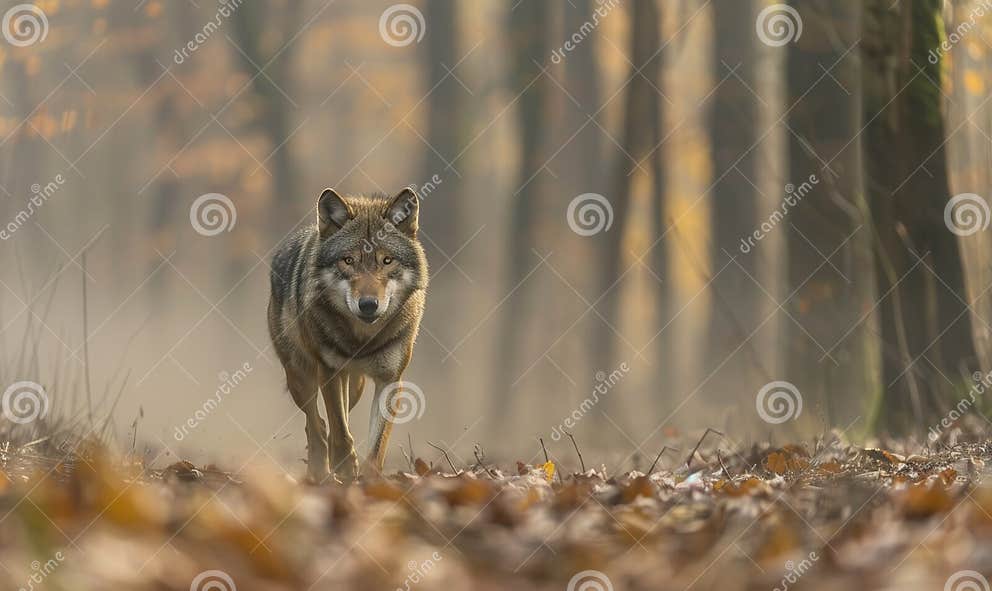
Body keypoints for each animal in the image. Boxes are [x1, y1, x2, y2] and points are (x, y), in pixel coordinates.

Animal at [268, 187, 427, 482]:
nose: (368, 305)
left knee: (329, 421)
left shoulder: (390, 380)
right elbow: (340, 431)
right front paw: (344, 468)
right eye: (348, 260)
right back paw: (320, 470)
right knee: (316, 424)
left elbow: (376, 444)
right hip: (301, 377)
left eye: (387, 260)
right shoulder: (330, 371)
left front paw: (368, 478)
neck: (362, 340)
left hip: (355, 386)